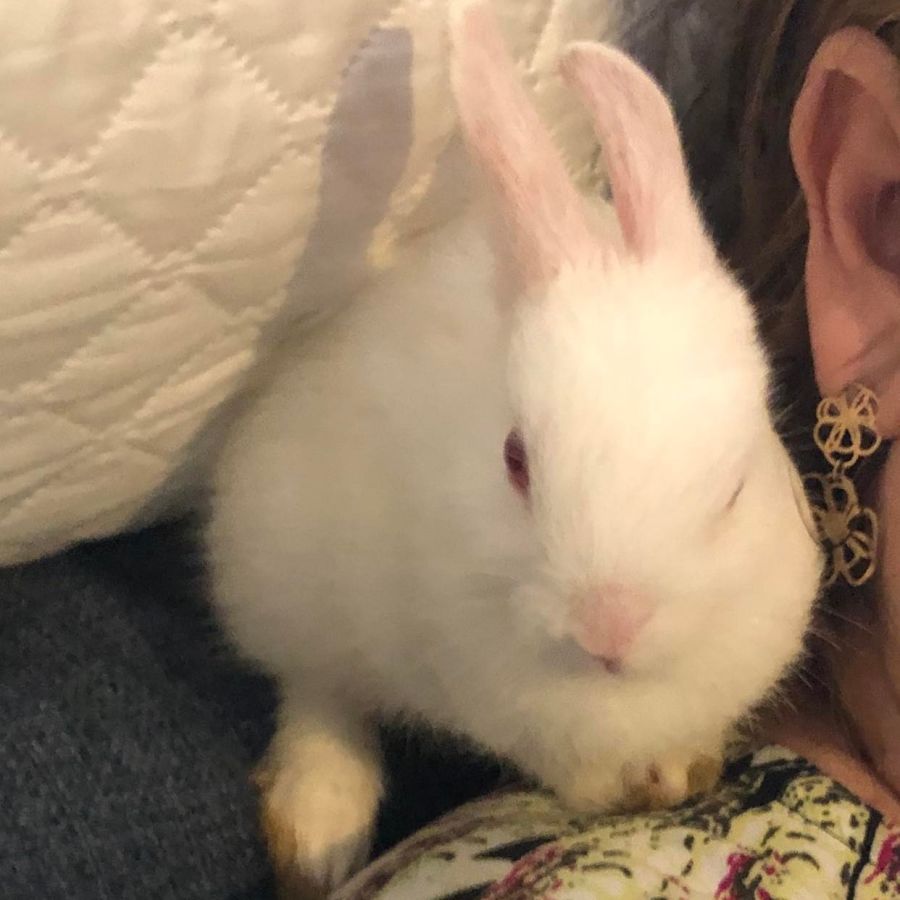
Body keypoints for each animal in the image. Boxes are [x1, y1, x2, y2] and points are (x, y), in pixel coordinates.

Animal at [205, 2, 824, 895]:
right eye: (515, 459)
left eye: (735, 488)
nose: (609, 626)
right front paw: (616, 789)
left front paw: (681, 770)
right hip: (280, 565)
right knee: (318, 691)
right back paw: (319, 833)